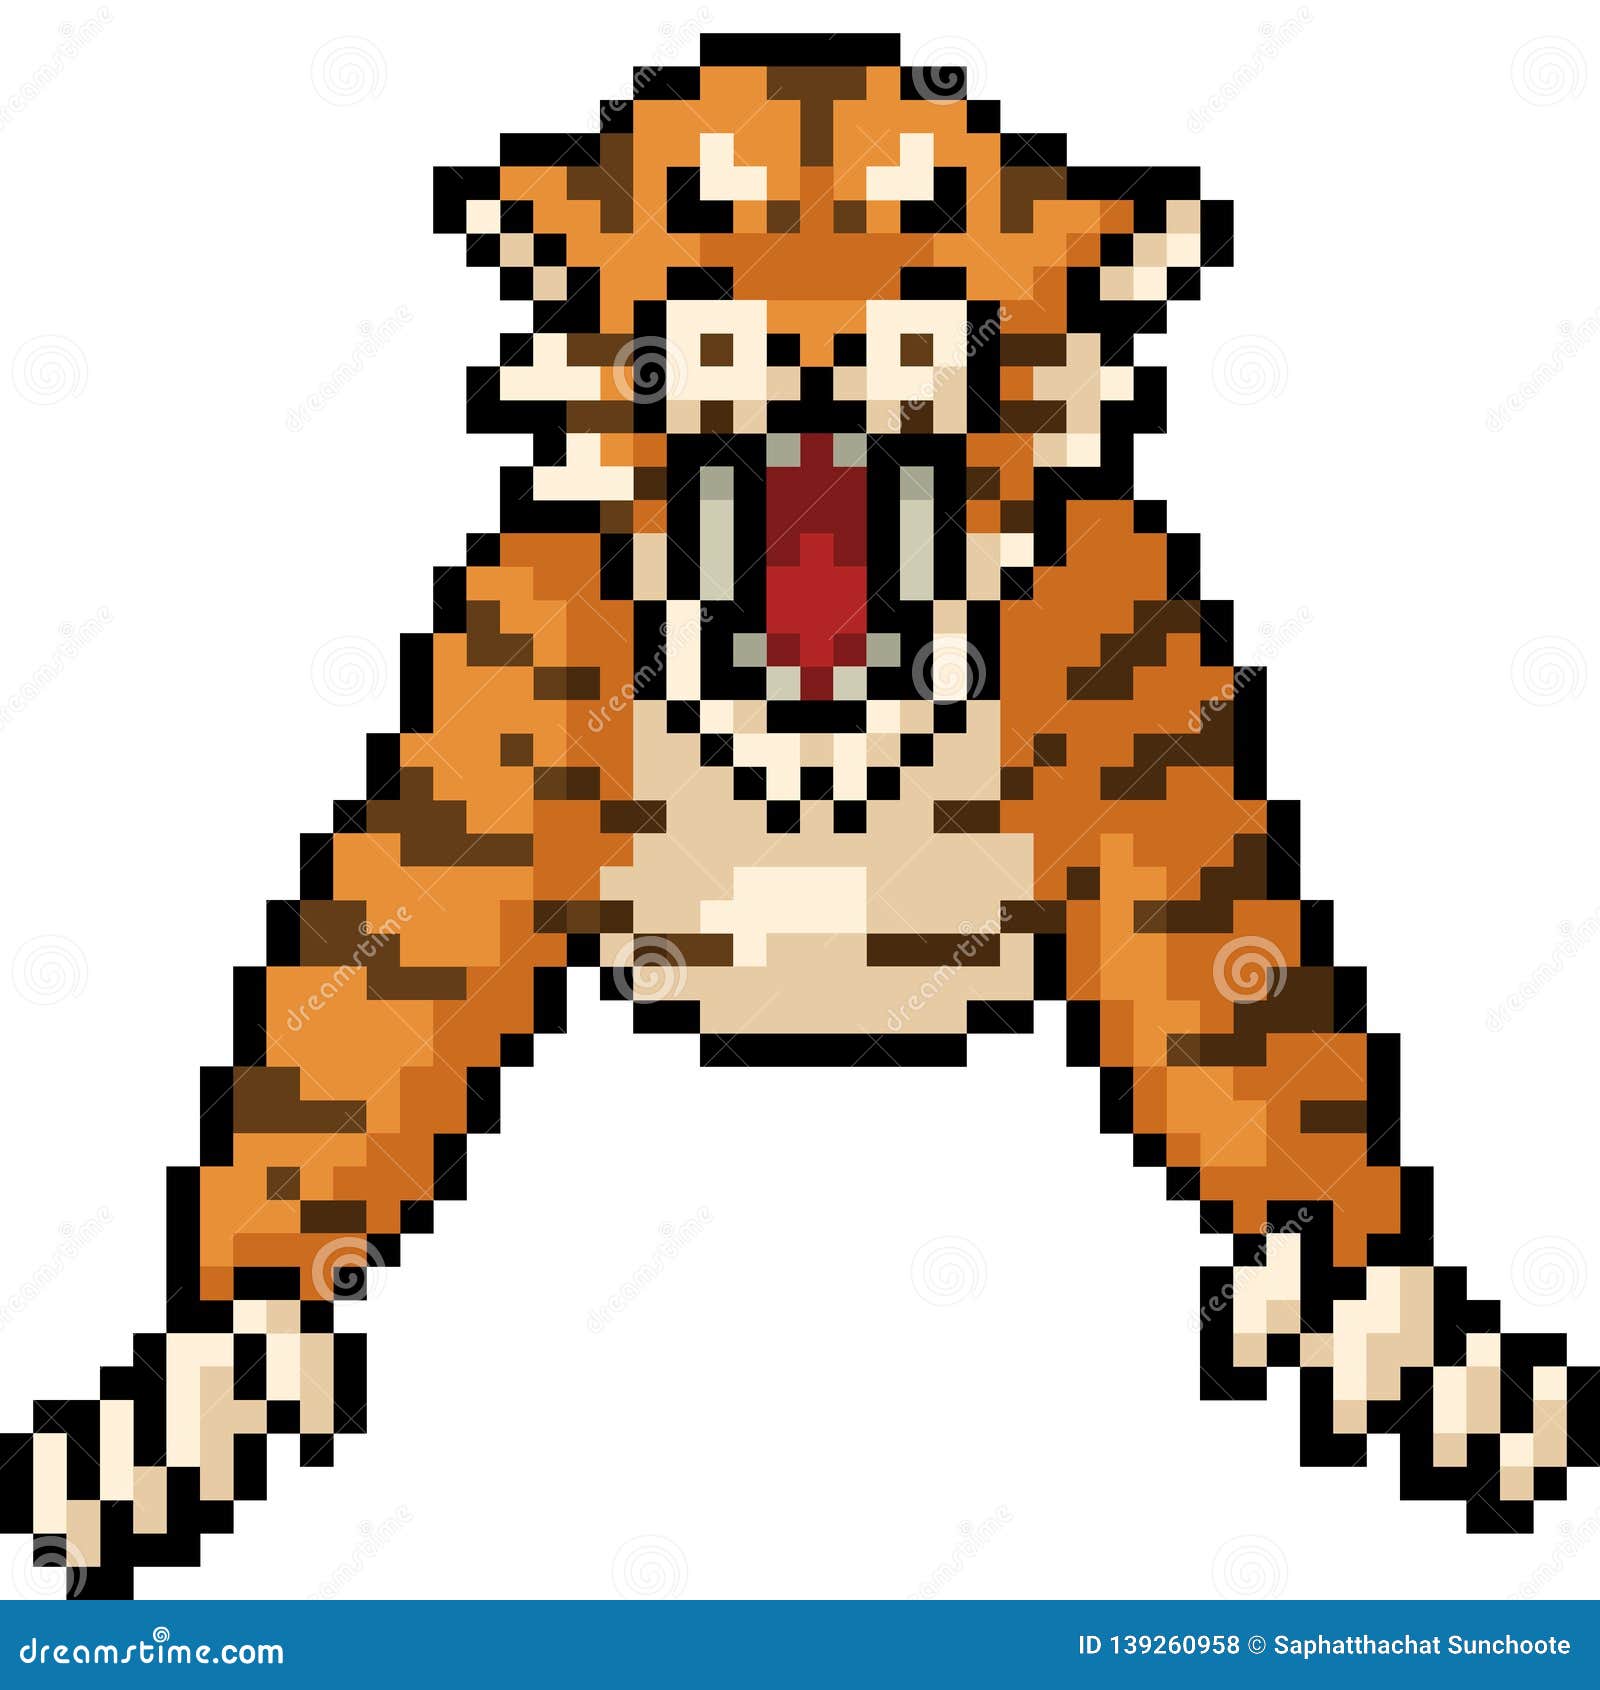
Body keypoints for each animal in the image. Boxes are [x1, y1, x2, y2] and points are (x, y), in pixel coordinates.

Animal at [2, 30, 1592, 1599]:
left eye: (932, 215)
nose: (815, 338)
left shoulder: (1163, 825)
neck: (817, 768)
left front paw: (1424, 1354)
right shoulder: (463, 822)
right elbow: (336, 1062)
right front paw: (178, 1412)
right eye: (697, 212)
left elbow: (1265, 1054)